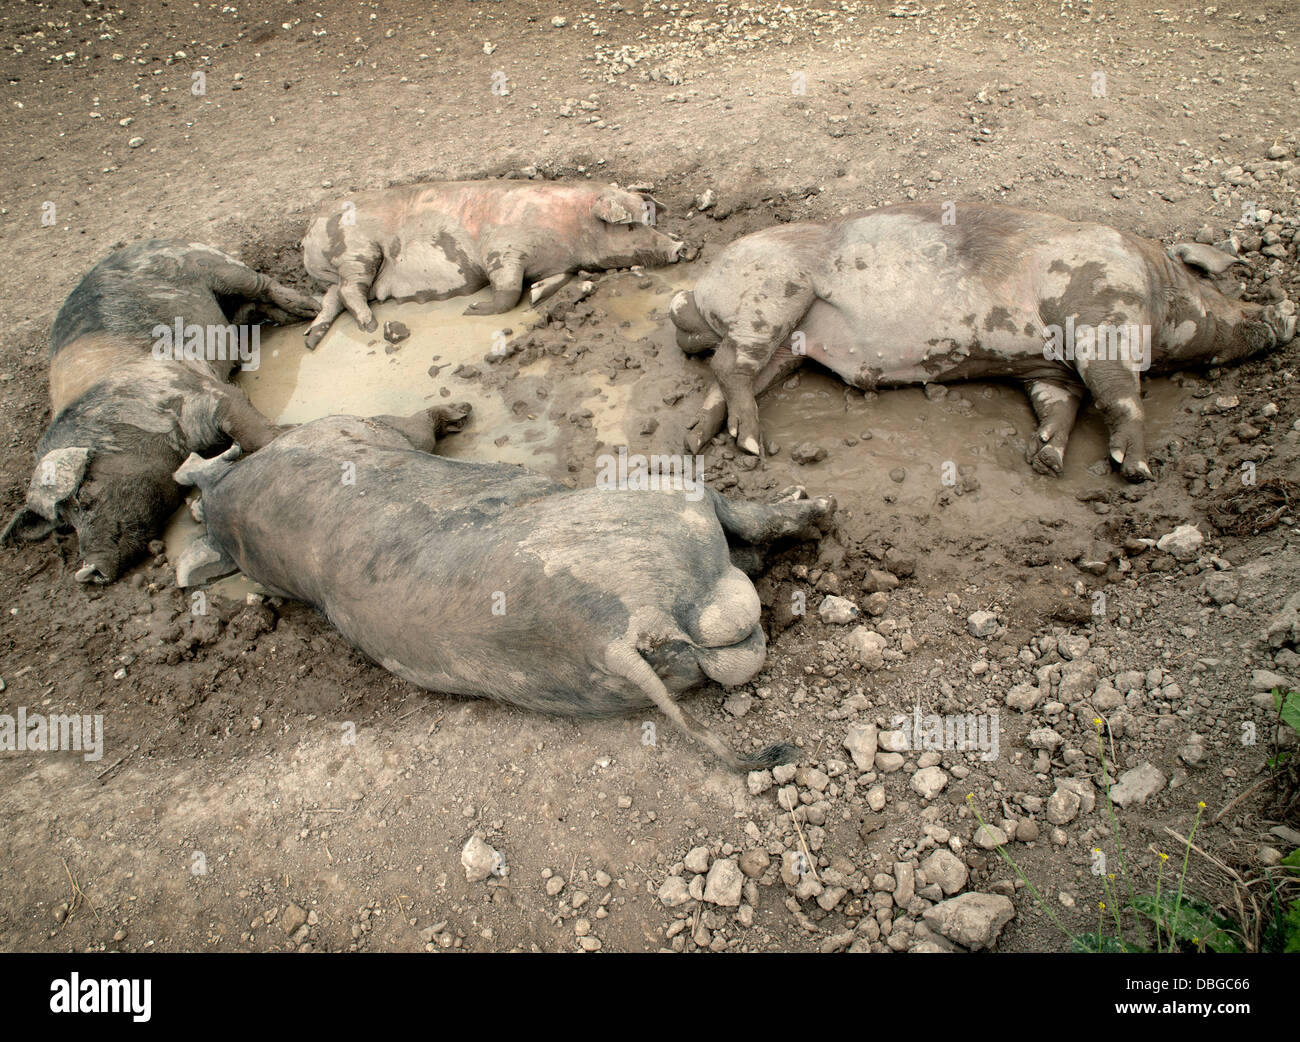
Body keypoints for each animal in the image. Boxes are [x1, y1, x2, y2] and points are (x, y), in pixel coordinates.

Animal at [1, 240, 319, 583]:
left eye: (84, 499)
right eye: (65, 525)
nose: (88, 571)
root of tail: (144, 242)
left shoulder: (198, 393)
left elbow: (251, 428)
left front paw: (288, 434)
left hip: (216, 267)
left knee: (260, 283)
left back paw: (310, 309)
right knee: (253, 307)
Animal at [172, 406, 835, 771]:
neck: (225, 502)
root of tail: (609, 634)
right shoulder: (359, 423)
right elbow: (412, 426)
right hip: (670, 497)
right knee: (738, 527)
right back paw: (815, 506)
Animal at [301, 180, 689, 347]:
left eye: (652, 219)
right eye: (630, 227)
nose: (682, 247)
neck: (571, 235)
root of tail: (309, 230)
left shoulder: (558, 263)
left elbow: (557, 279)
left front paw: (536, 295)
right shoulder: (503, 250)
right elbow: (507, 290)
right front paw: (472, 310)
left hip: (342, 267)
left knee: (331, 298)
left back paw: (311, 339)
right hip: (357, 250)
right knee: (349, 290)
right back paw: (369, 326)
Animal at [671, 202, 1296, 480]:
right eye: (1223, 292)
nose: (1283, 311)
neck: (1153, 281)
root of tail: (698, 289)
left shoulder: (1050, 370)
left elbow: (1063, 405)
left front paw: (1047, 459)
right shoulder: (1100, 312)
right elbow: (1121, 394)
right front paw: (1136, 469)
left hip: (786, 346)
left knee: (726, 375)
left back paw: (696, 441)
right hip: (772, 294)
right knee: (729, 365)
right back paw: (751, 445)